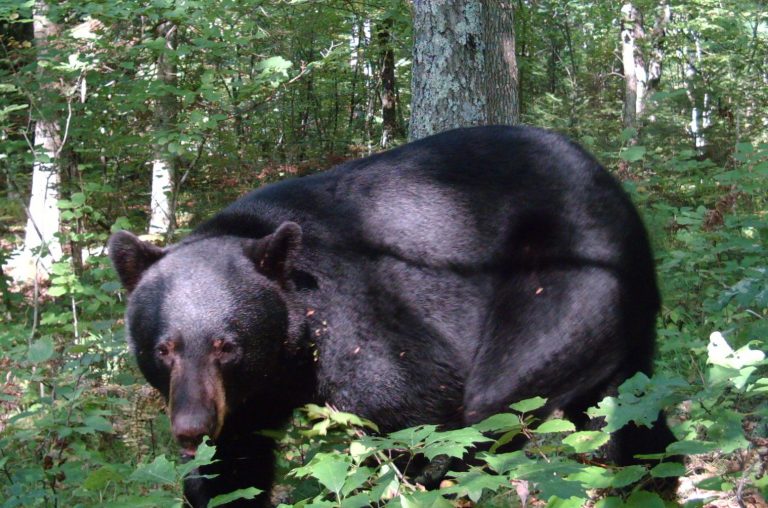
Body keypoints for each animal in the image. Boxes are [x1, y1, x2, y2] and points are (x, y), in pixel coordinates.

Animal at [109, 125, 676, 507]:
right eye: (163, 348)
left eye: (227, 345)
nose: (192, 428)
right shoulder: (243, 402)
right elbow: (230, 470)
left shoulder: (365, 325)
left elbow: (413, 415)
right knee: (631, 410)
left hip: (566, 286)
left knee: (496, 408)